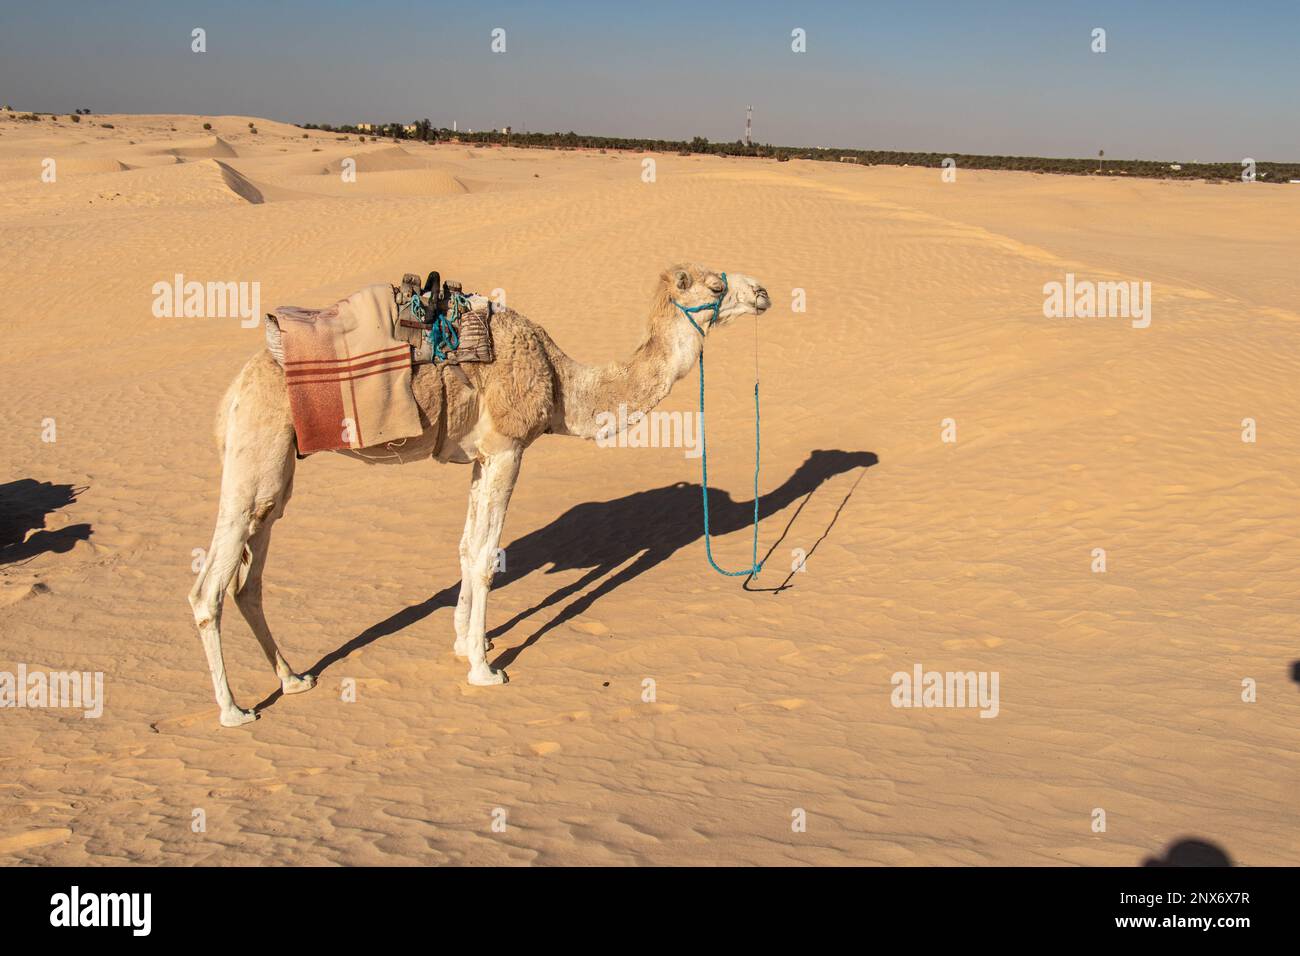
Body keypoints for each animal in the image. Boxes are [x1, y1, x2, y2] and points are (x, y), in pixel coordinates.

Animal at [189, 263, 771, 726]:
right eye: (716, 284)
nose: (764, 291)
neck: (561, 383)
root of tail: (231, 394)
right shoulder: (508, 448)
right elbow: (488, 556)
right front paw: (484, 669)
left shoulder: (480, 457)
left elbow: (467, 549)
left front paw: (467, 641)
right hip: (254, 460)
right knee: (208, 588)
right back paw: (234, 710)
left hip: (276, 479)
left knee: (248, 580)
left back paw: (292, 679)